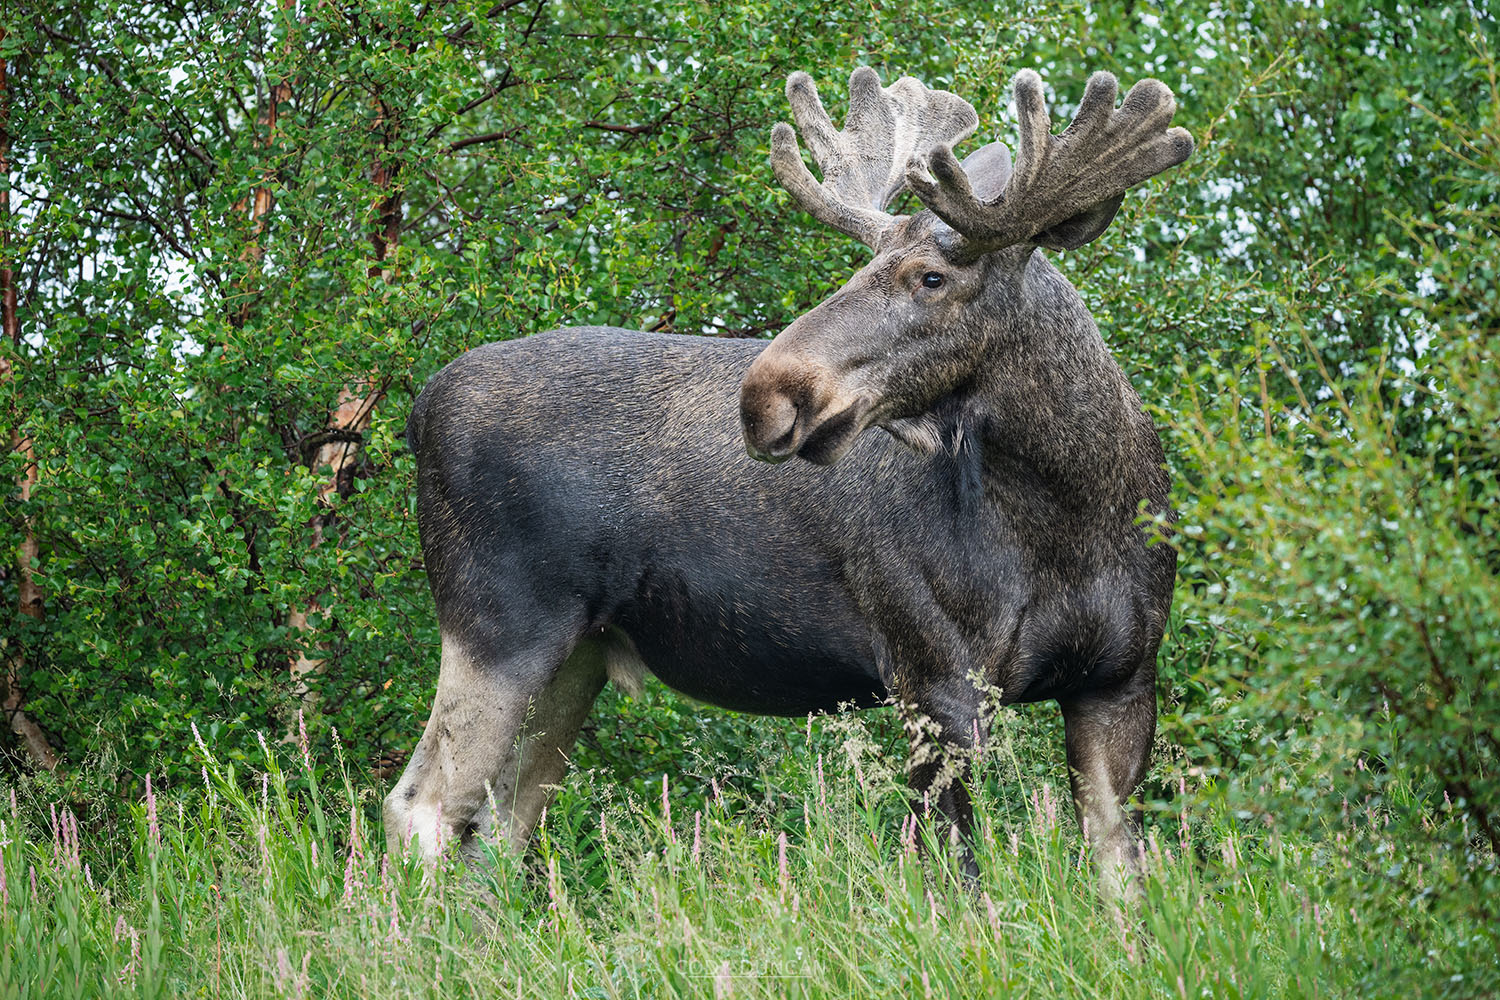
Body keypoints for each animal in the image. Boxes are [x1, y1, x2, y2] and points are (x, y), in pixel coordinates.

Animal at [384, 62, 1192, 896]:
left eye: (931, 277)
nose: (765, 393)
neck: (1074, 514)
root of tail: (419, 408)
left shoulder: (1122, 681)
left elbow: (1120, 879)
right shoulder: (934, 675)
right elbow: (956, 875)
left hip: (575, 653)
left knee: (498, 824)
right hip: (499, 622)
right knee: (420, 805)